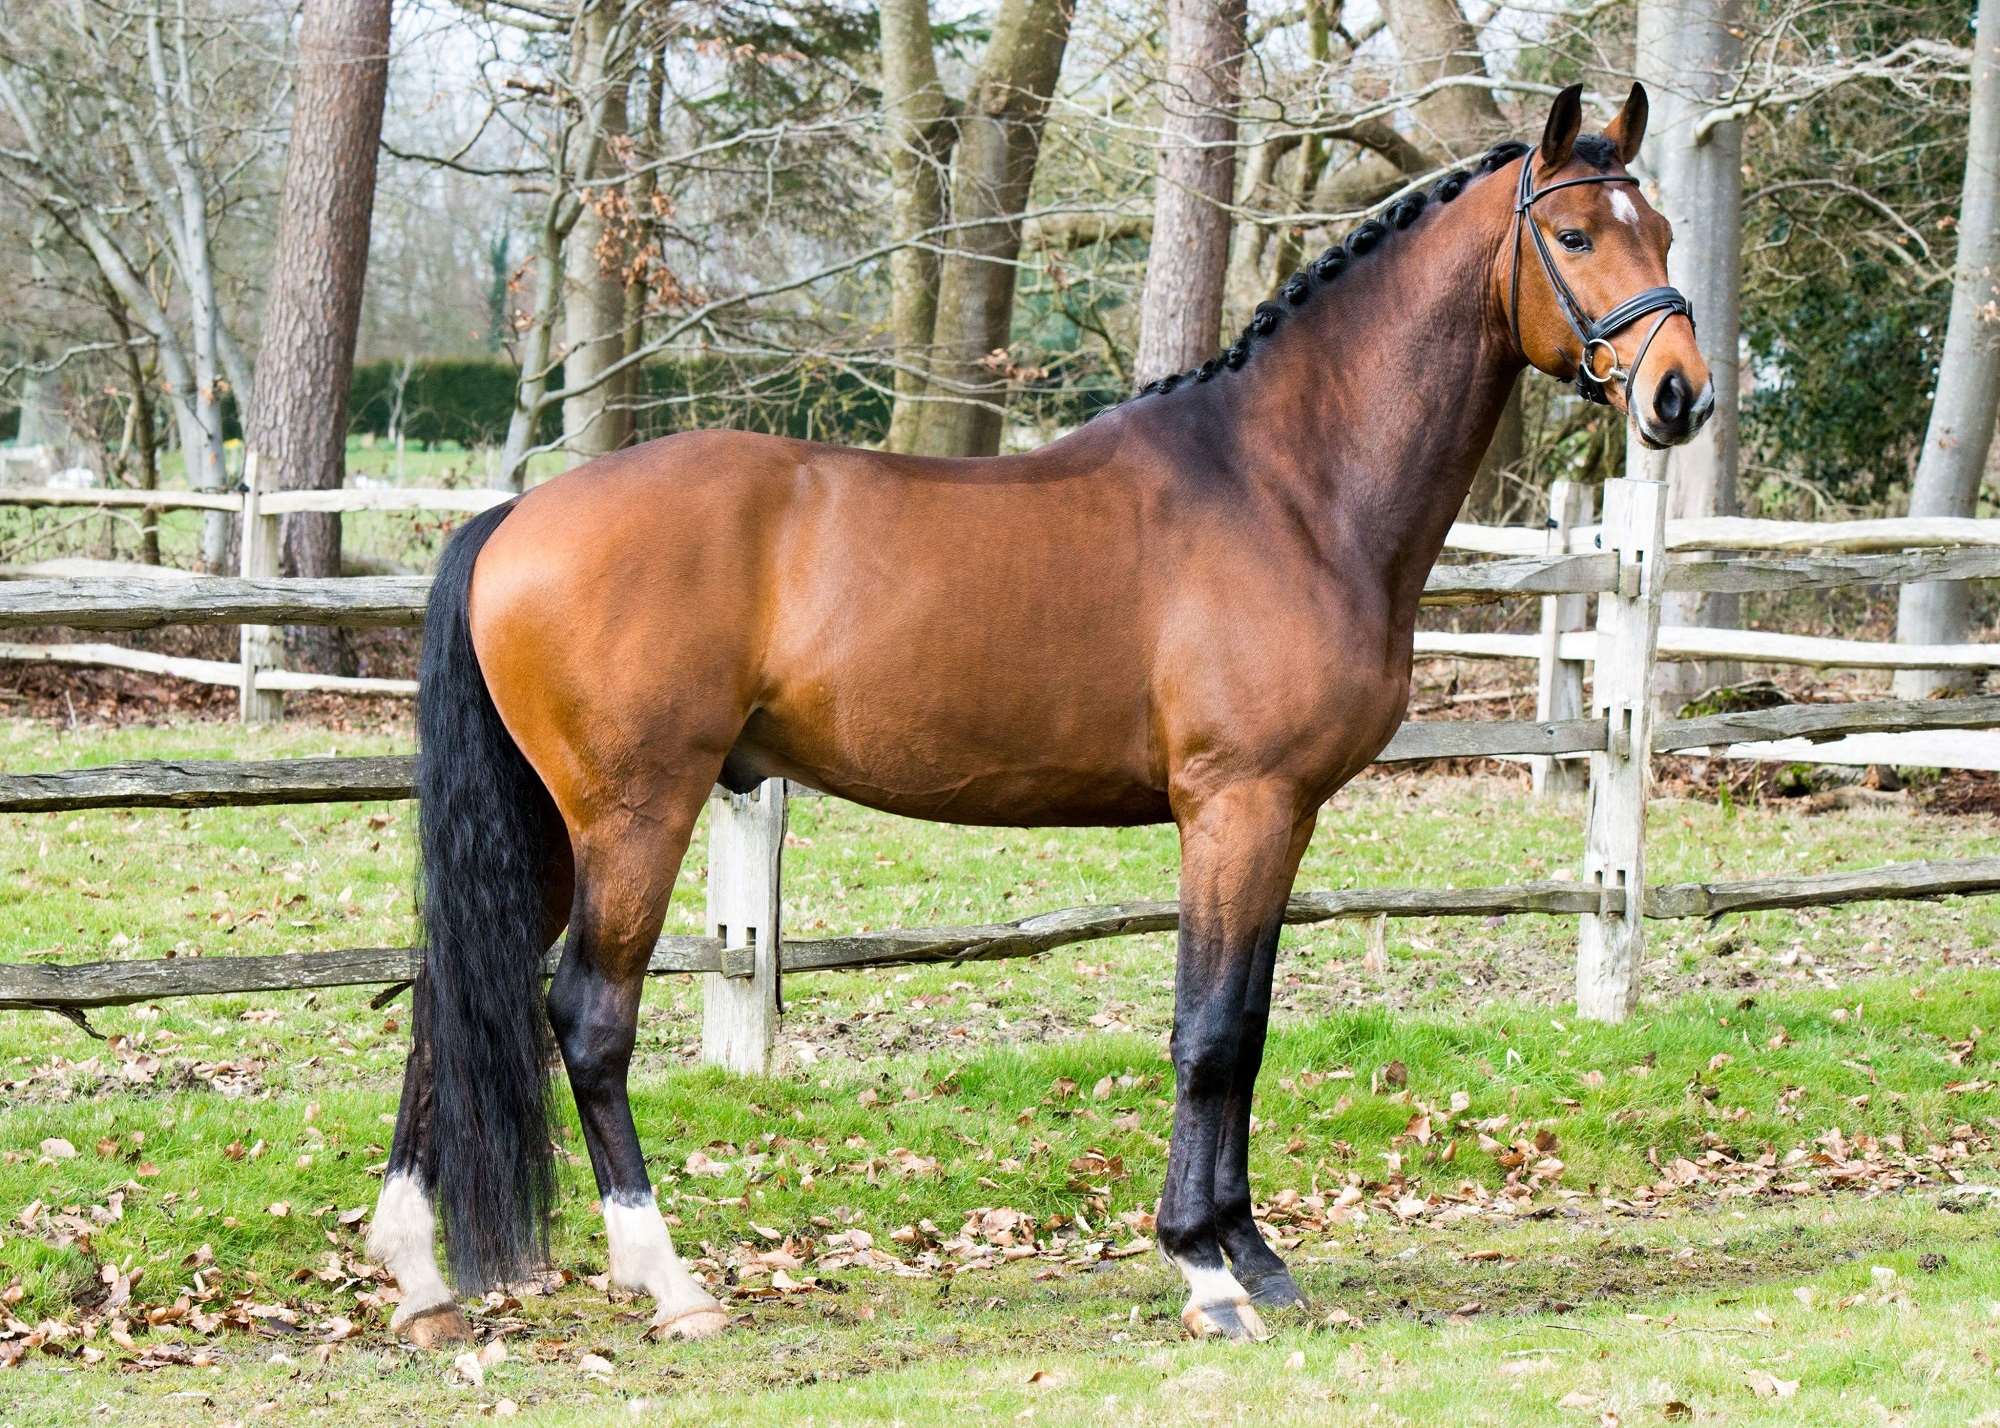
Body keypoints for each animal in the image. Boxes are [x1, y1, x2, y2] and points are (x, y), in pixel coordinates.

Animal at [366, 82, 1712, 1347]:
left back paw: (419, 1282)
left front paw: (1253, 1254)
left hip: (549, 827)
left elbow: (1247, 1026)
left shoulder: (1283, 817)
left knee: (449, 1003)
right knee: (586, 1021)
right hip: (633, 814)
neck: (1285, 487)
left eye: (1660, 230)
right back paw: (668, 1282)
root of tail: (513, 519)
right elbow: (1206, 1032)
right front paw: (1201, 1271)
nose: (1678, 398)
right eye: (1576, 235)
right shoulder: (1233, 807)